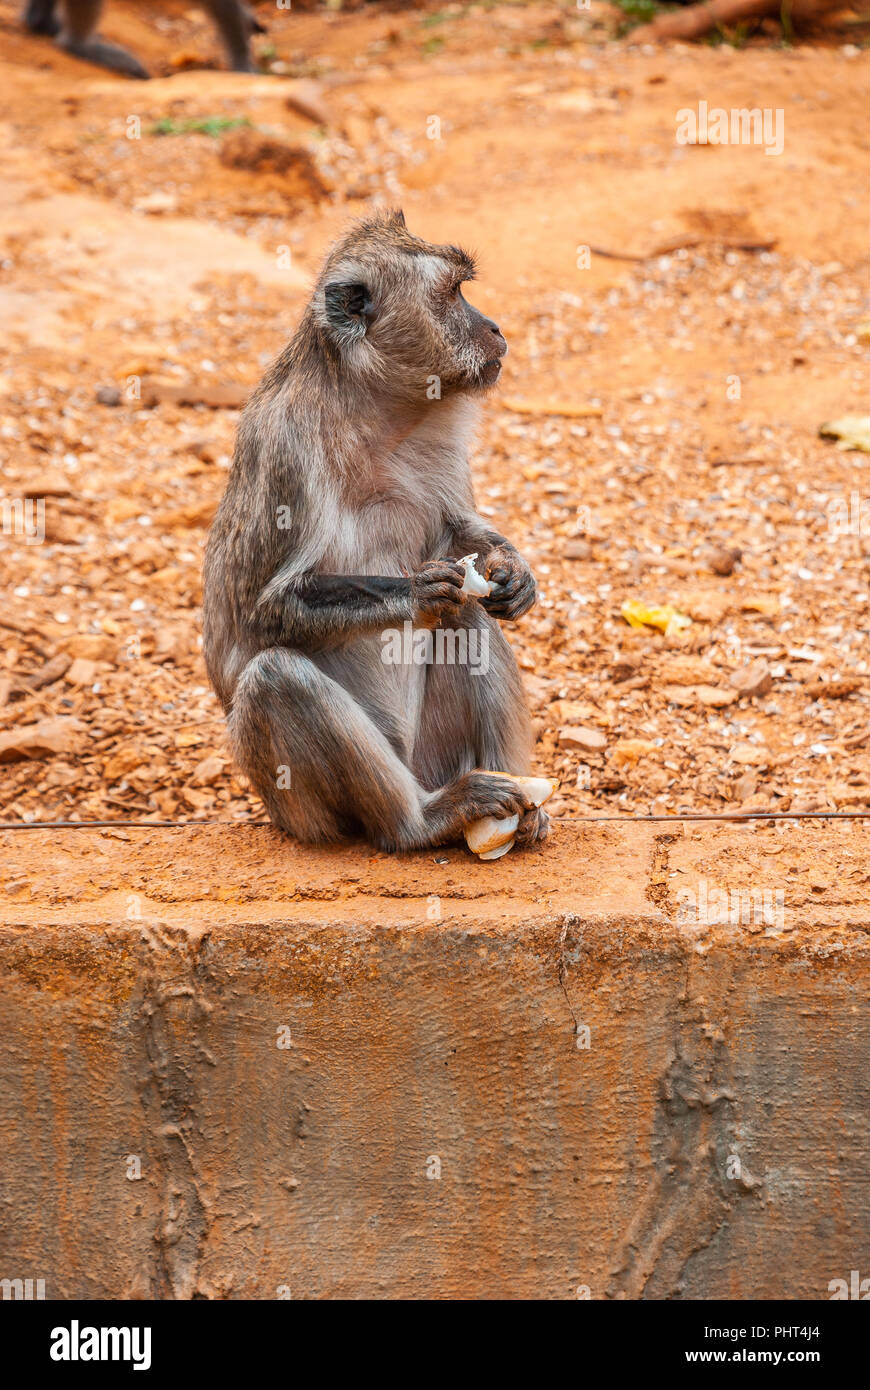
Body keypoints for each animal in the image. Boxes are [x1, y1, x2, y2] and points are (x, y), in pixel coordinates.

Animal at [202, 210, 549, 854]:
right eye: (452, 293)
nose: (494, 327)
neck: (373, 415)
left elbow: (459, 532)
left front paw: (513, 570)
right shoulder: (282, 450)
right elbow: (263, 612)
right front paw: (416, 593)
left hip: (436, 752)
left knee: (468, 617)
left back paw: (518, 803)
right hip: (302, 809)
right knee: (275, 677)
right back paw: (421, 821)